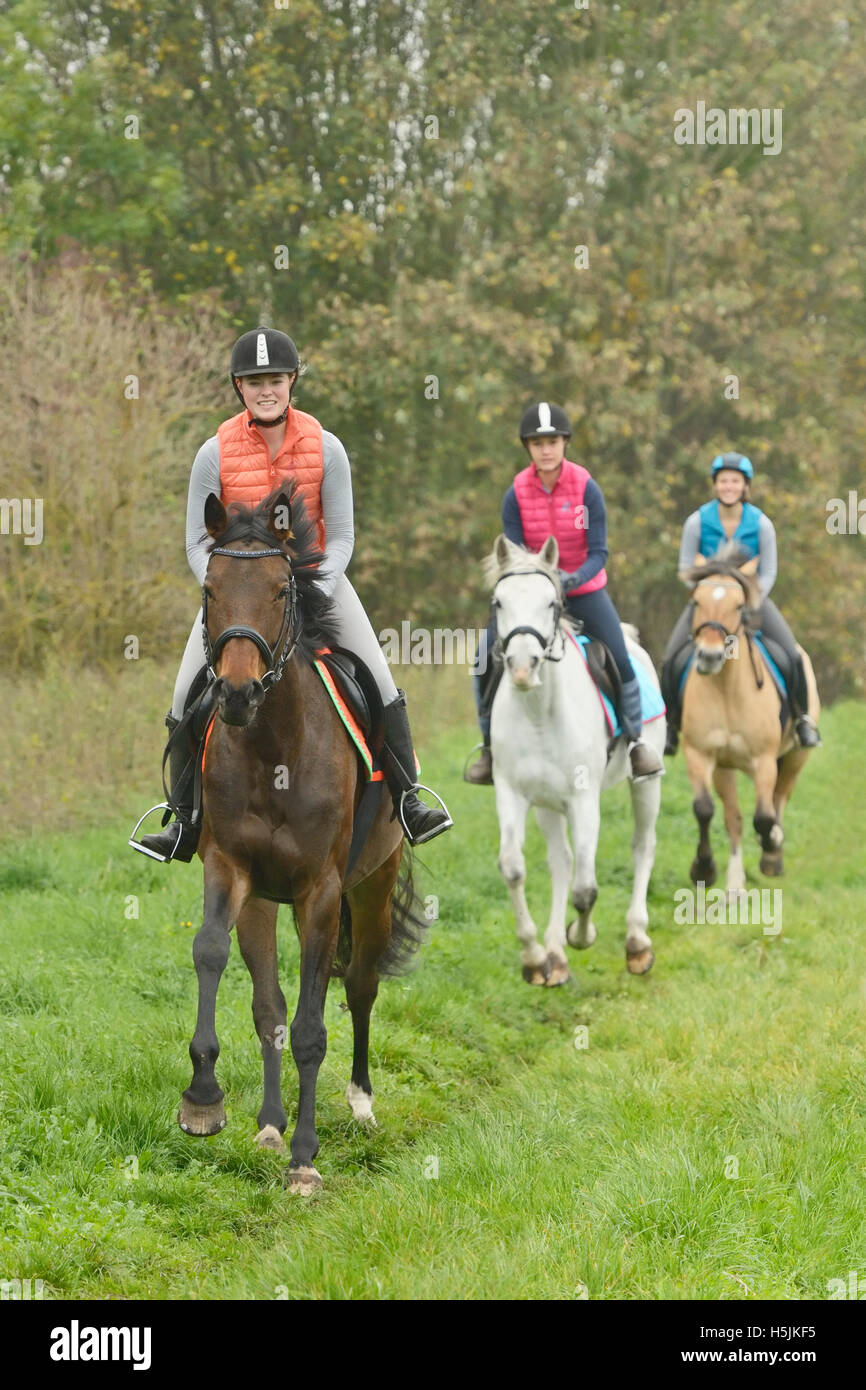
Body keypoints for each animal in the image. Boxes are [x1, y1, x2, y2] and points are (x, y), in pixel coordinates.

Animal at [178, 486, 426, 1194]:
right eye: (210, 589)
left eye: (281, 590)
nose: (236, 693)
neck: (273, 750)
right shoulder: (232, 871)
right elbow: (225, 967)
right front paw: (206, 1102)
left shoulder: (321, 890)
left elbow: (314, 1028)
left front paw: (306, 1160)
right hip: (269, 902)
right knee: (272, 1008)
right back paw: (269, 1124)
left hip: (371, 889)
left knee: (361, 987)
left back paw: (361, 1105)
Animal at [485, 534, 665, 983]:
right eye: (499, 602)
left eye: (552, 602)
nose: (522, 667)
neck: (538, 712)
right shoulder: (512, 793)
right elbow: (514, 868)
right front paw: (535, 958)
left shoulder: (584, 800)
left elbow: (586, 889)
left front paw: (581, 936)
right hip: (547, 803)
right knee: (561, 861)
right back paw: (555, 956)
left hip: (646, 783)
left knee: (642, 846)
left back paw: (637, 943)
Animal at [680, 548, 820, 892]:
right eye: (696, 601)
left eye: (739, 605)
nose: (710, 657)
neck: (727, 691)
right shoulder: (701, 754)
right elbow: (705, 810)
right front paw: (703, 868)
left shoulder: (765, 760)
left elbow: (765, 817)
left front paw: (771, 848)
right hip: (726, 768)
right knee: (733, 817)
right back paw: (734, 885)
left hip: (795, 757)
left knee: (779, 800)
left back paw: (773, 853)